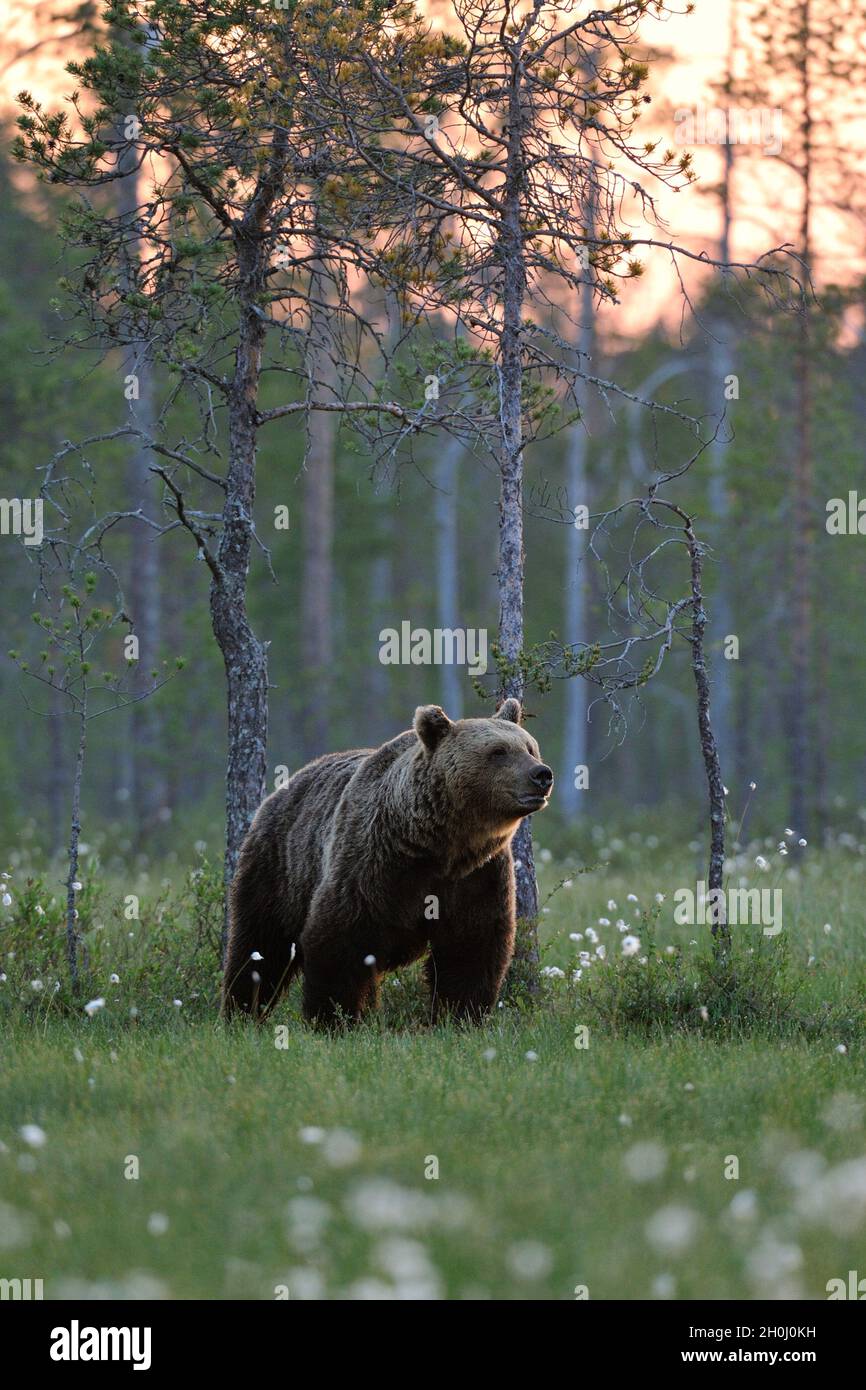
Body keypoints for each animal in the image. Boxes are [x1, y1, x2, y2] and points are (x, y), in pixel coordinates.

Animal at [222, 698, 553, 1027]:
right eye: (498, 751)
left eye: (529, 747)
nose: (542, 774)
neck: (442, 845)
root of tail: (288, 784)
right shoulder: (373, 863)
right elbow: (339, 940)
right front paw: (333, 1018)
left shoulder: (478, 875)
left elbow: (471, 947)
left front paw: (459, 1016)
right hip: (279, 868)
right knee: (260, 944)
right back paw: (241, 1010)